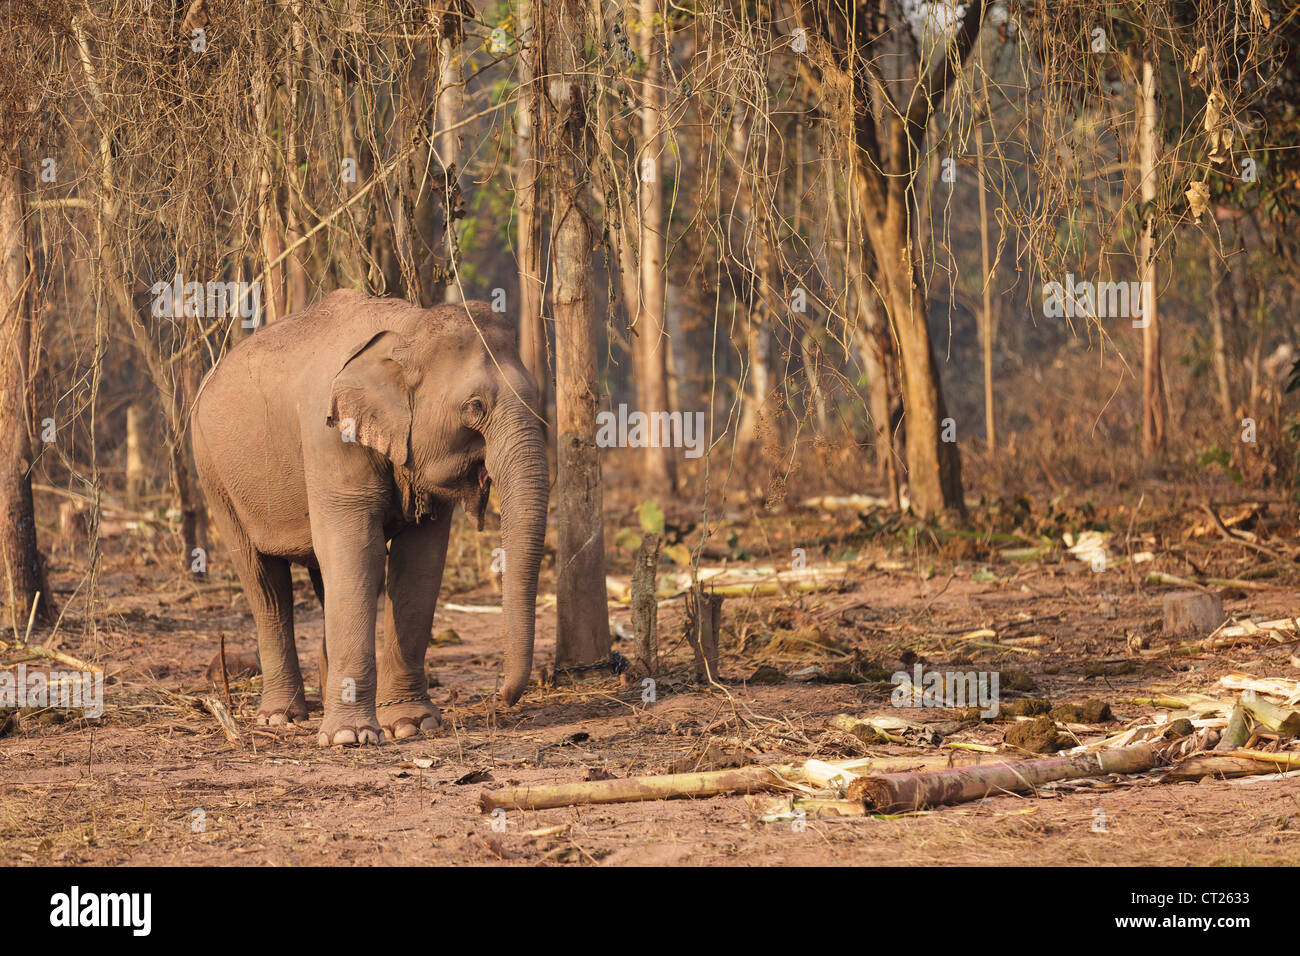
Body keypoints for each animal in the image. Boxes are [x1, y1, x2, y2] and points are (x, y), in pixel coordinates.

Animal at [190, 290, 548, 746]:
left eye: (536, 397)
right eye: (474, 407)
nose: (503, 697)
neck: (408, 330)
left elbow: (418, 564)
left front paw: (412, 724)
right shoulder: (331, 437)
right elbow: (359, 552)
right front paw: (350, 737)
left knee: (323, 579)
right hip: (215, 477)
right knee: (264, 582)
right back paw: (279, 717)